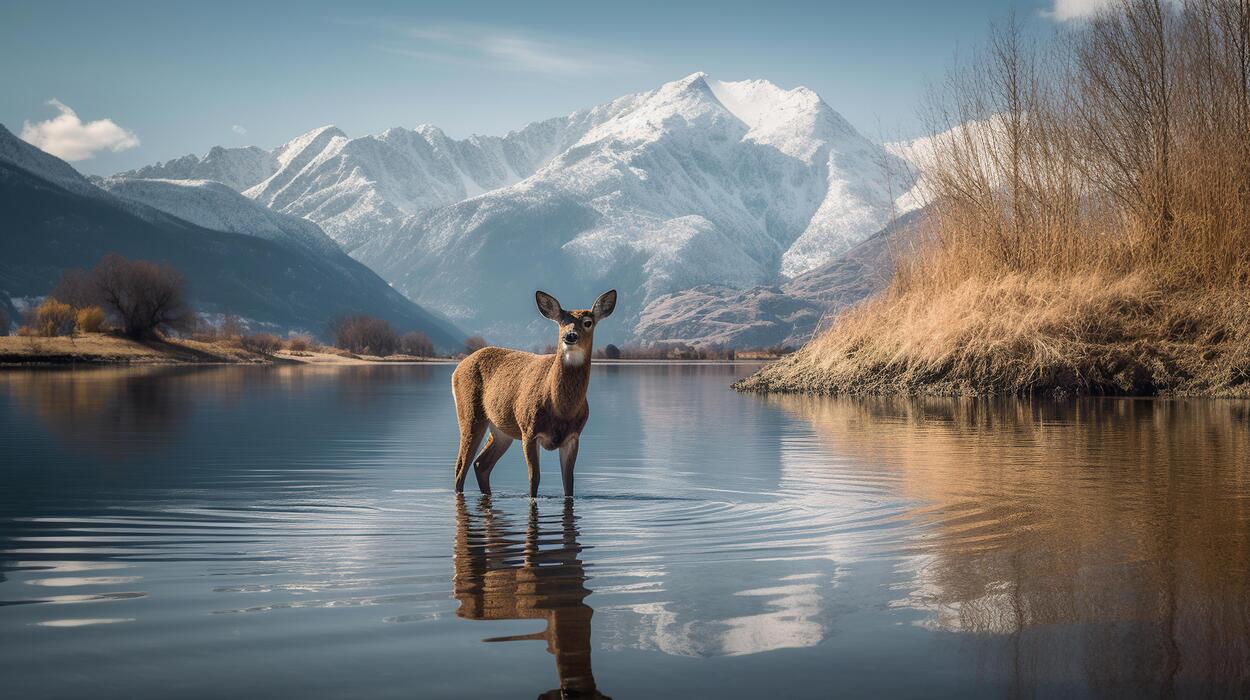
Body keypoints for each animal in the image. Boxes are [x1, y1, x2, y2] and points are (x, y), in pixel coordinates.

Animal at [451, 289, 616, 498]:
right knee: (460, 468)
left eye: (588, 322)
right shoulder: (529, 431)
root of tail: (458, 368)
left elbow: (568, 484)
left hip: (500, 429)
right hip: (470, 415)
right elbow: (534, 480)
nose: (570, 336)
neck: (561, 409)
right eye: (561, 322)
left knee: (481, 464)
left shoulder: (573, 436)